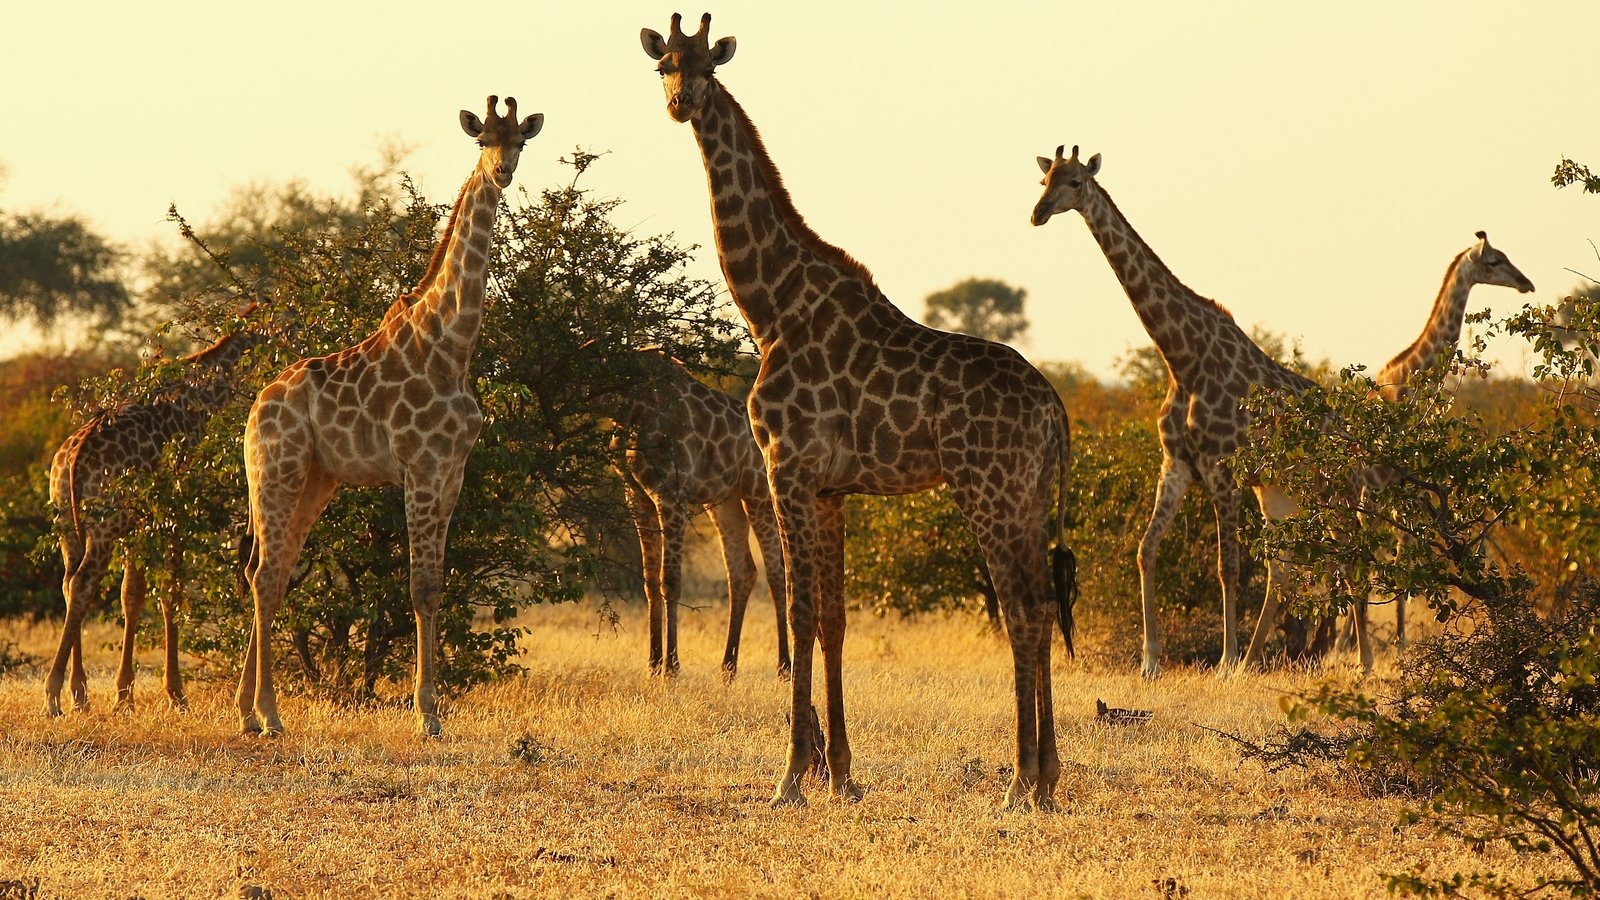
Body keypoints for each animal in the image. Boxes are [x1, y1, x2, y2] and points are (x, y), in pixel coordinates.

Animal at [44, 320, 262, 716]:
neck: (201, 400)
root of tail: (71, 459)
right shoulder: (177, 509)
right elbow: (171, 592)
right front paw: (176, 693)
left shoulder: (142, 522)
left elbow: (132, 594)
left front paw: (124, 695)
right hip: (104, 525)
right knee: (82, 583)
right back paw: (53, 694)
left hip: (67, 523)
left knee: (68, 584)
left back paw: (80, 693)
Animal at [236, 96, 542, 737]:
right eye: (483, 141)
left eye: (520, 142)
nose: (503, 173)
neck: (453, 345)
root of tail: (253, 410)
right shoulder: (421, 467)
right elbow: (420, 586)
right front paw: (427, 714)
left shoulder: (452, 472)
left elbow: (437, 586)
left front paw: (432, 709)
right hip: (276, 472)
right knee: (265, 573)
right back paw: (270, 714)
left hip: (315, 480)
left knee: (273, 571)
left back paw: (249, 711)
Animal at [612, 348, 789, 677]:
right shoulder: (636, 495)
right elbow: (649, 580)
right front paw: (653, 664)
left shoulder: (671, 493)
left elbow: (670, 580)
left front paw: (671, 667)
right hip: (725, 501)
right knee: (742, 571)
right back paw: (728, 667)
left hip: (757, 495)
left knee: (776, 570)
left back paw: (784, 665)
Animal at [643, 14, 1076, 810]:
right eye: (664, 64)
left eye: (707, 66)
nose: (681, 102)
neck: (770, 307)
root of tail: (1056, 411)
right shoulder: (831, 489)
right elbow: (835, 621)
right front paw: (841, 773)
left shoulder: (787, 468)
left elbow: (799, 613)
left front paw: (790, 777)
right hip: (1029, 495)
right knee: (1038, 605)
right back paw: (1047, 779)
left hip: (988, 490)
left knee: (1024, 612)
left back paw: (1021, 783)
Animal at [1031, 144, 1315, 677]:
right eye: (1044, 180)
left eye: (1076, 182)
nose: (1037, 213)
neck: (1182, 359)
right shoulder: (1177, 463)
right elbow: (1145, 551)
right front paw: (1150, 662)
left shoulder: (1220, 466)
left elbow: (1228, 567)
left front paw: (1223, 661)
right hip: (1278, 490)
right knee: (1285, 568)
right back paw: (1257, 659)